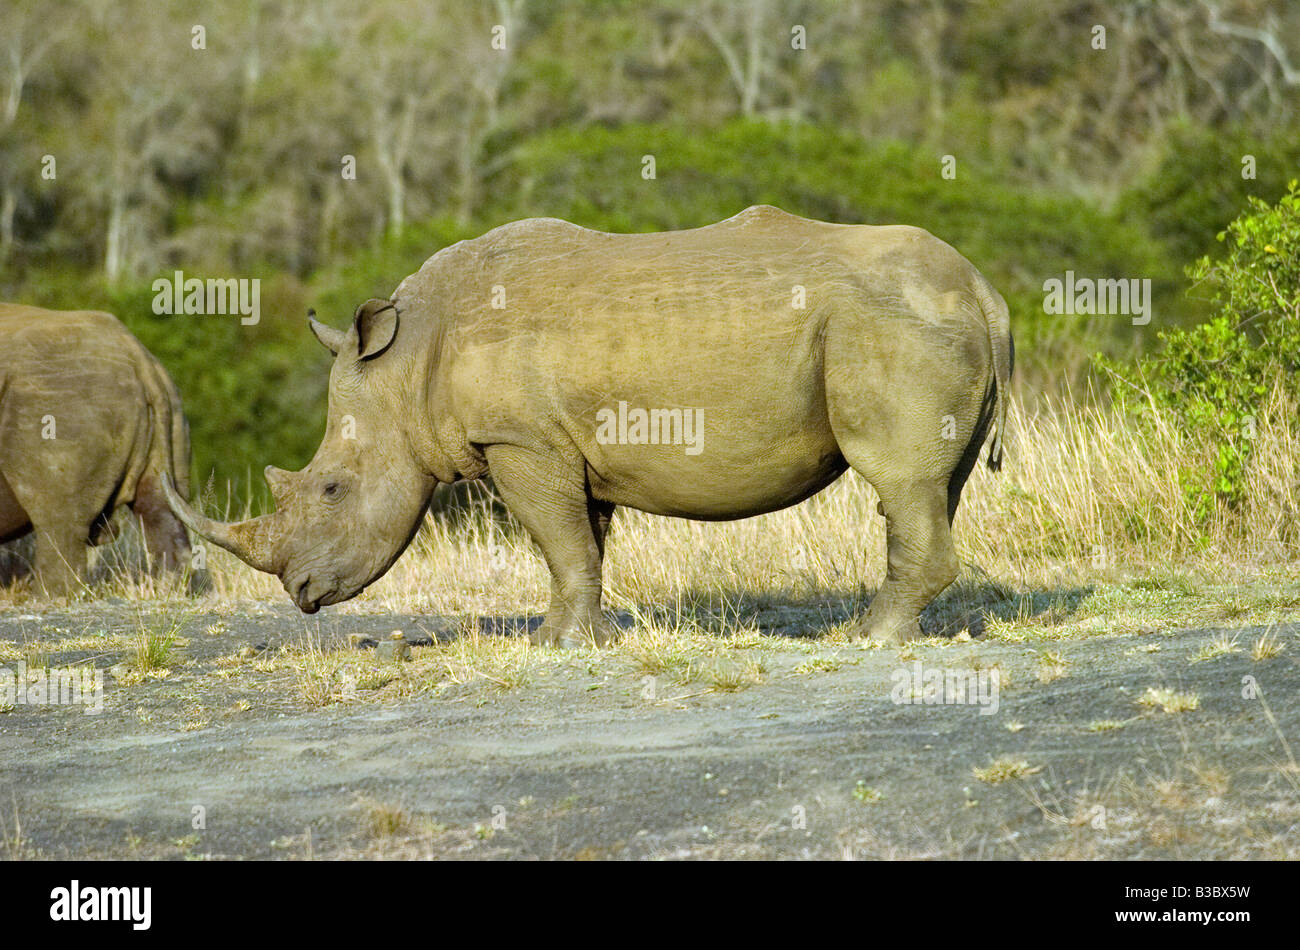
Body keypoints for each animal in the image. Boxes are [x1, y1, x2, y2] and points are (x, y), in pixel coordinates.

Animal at [0, 303, 194, 595]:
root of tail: (140, 358)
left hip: (62, 401)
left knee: (58, 522)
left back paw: (45, 598)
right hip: (168, 403)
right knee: (161, 504)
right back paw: (166, 591)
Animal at [164, 206, 1012, 645]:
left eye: (333, 489)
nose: (302, 594)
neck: (407, 366)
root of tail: (983, 287)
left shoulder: (520, 439)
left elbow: (559, 543)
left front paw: (550, 646)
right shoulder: (569, 444)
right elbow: (584, 544)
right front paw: (587, 638)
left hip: (893, 322)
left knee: (898, 478)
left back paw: (862, 639)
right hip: (925, 319)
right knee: (935, 484)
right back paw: (896, 632)